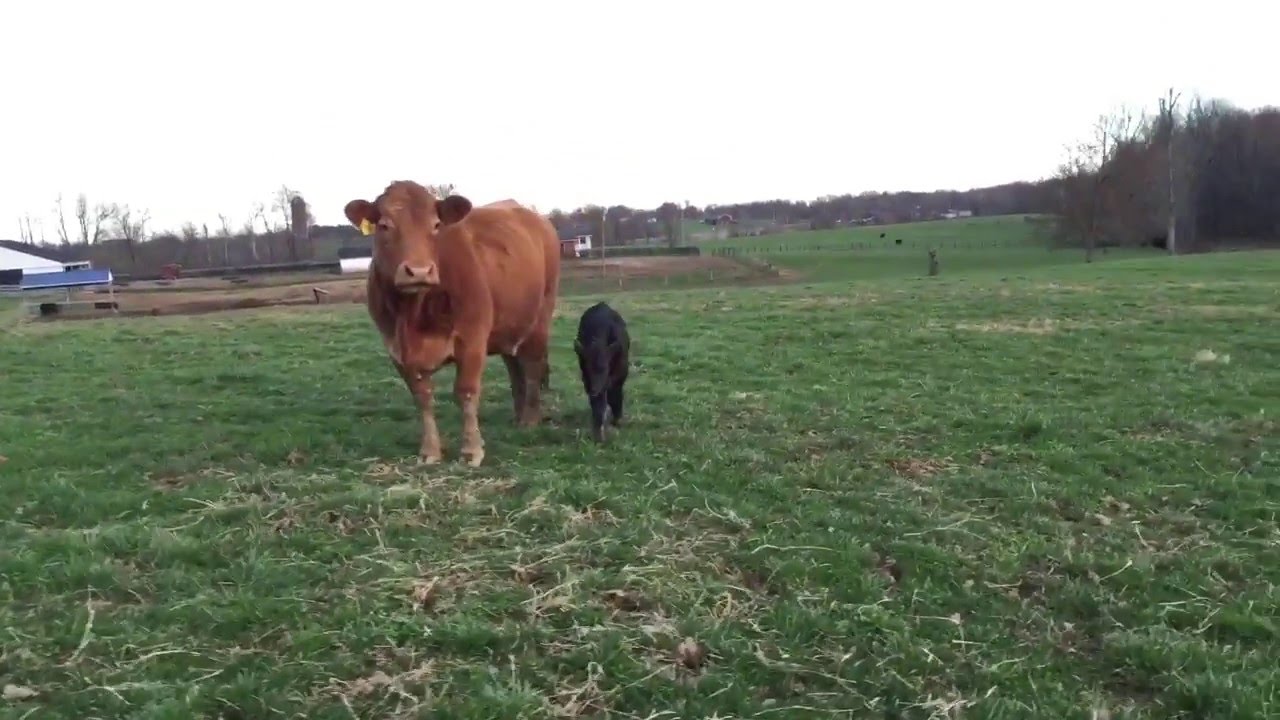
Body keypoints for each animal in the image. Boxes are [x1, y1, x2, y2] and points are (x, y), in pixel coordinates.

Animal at [343, 181, 560, 467]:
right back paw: (518, 414)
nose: (419, 271)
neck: (414, 315)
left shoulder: (472, 341)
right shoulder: (396, 350)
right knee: (515, 368)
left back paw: (529, 420)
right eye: (384, 225)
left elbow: (465, 393)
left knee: (533, 367)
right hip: (509, 326)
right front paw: (430, 450)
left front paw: (471, 450)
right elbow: (422, 397)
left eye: (436, 225)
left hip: (540, 318)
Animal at [572, 301, 630, 442]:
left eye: (604, 368)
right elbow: (598, 405)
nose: (594, 389)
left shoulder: (620, 374)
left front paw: (617, 421)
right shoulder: (587, 380)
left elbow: (615, 396)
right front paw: (598, 435)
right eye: (586, 367)